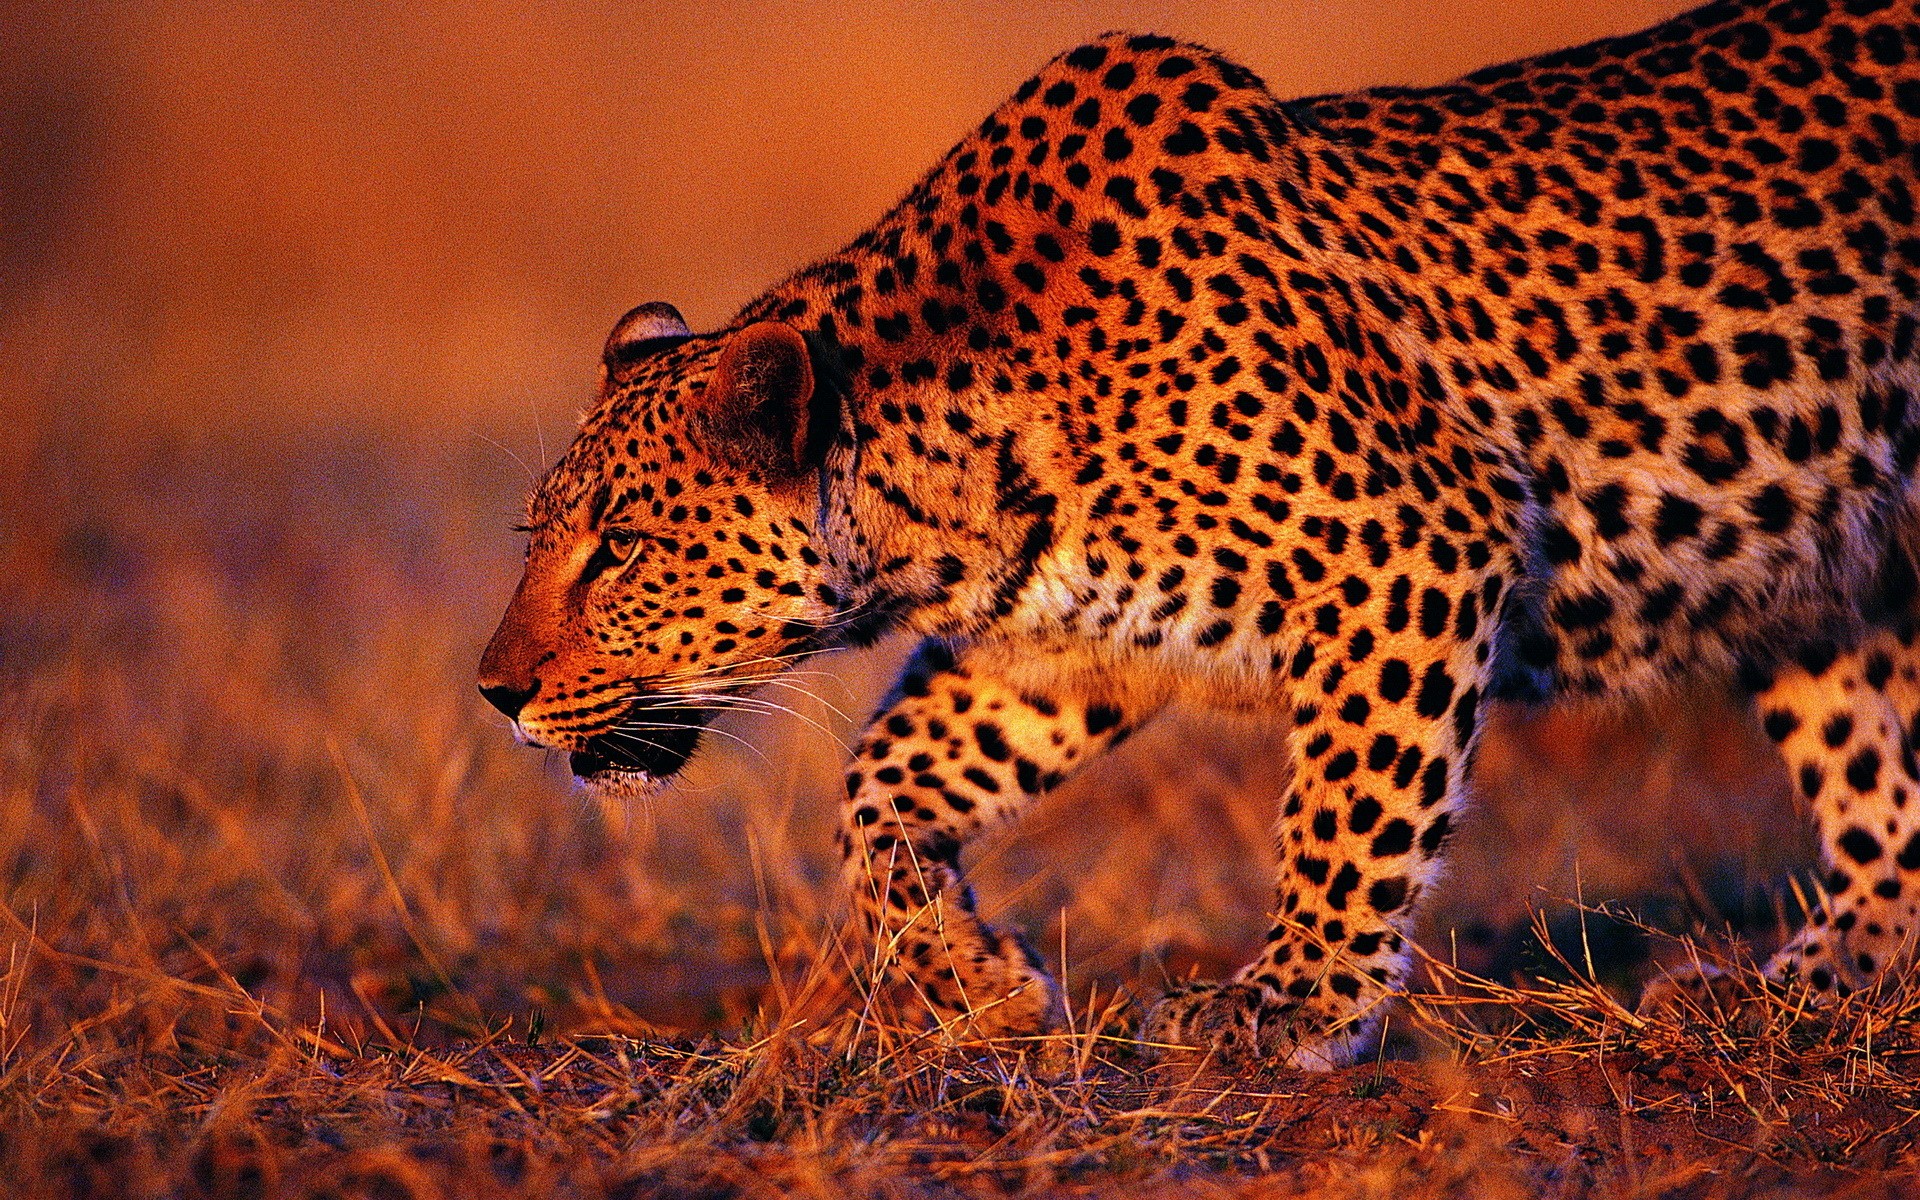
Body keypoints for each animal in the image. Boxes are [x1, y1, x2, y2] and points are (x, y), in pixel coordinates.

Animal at [479, 0, 1920, 1070]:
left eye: (617, 549)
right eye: (544, 535)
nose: (494, 694)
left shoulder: (1413, 552)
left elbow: (1350, 807)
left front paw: (1288, 1011)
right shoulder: (1057, 655)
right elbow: (879, 788)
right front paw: (980, 982)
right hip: (1835, 574)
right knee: (1880, 784)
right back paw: (1810, 985)